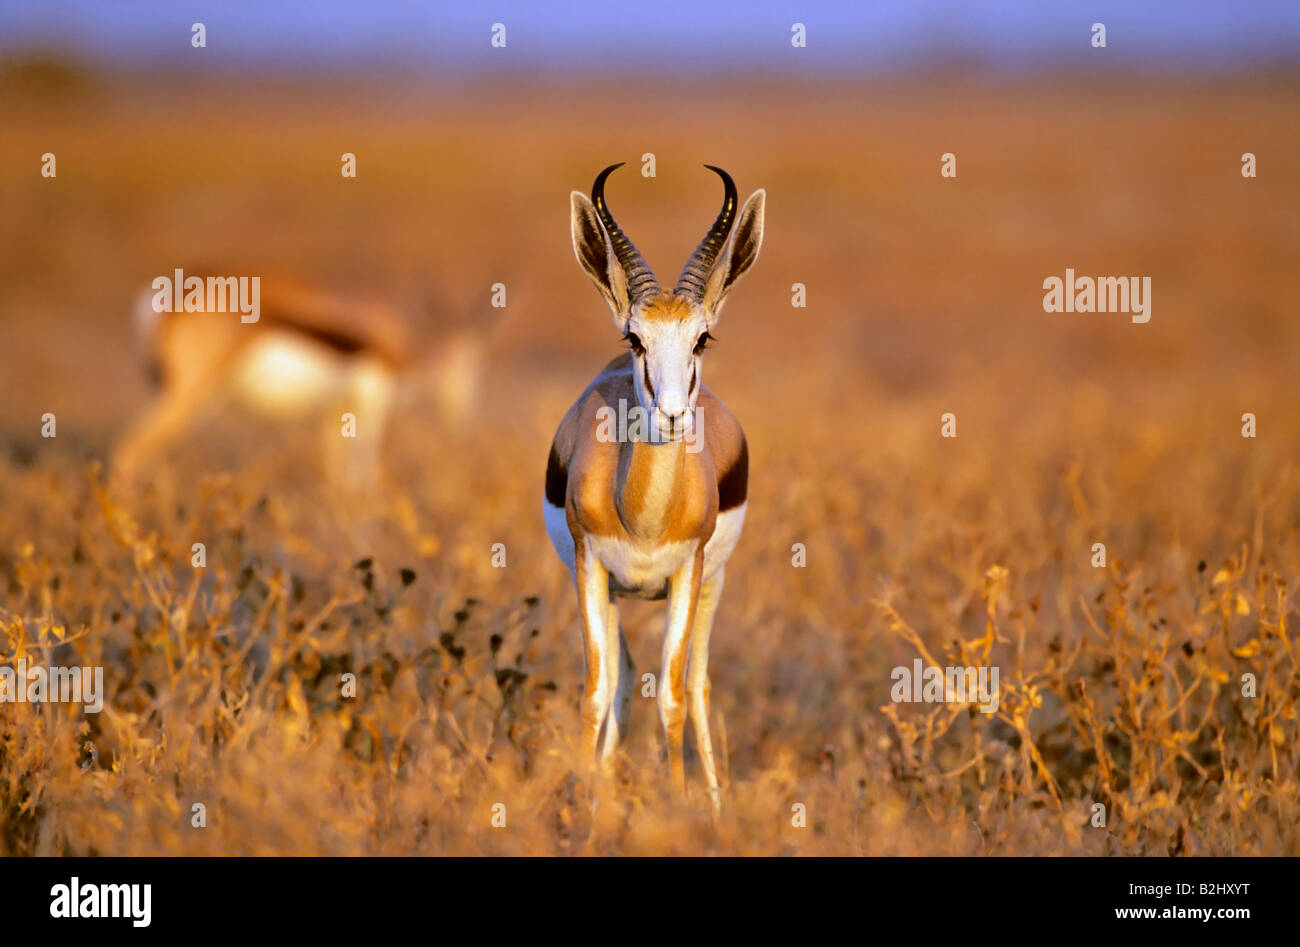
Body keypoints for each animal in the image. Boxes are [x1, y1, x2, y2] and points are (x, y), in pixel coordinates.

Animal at [113, 268, 485, 489]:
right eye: (467, 366)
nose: (461, 418)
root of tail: (164, 301)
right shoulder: (374, 399)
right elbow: (363, 468)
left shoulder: (337, 411)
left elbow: (336, 471)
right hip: (193, 394)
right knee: (131, 447)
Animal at [544, 163, 764, 808]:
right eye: (634, 338)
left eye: (702, 339)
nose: (671, 415)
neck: (643, 516)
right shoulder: (590, 568)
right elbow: (596, 690)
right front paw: (588, 804)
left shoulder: (688, 573)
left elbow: (671, 695)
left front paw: (683, 802)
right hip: (617, 594)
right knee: (620, 679)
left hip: (713, 584)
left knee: (698, 681)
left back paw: (715, 802)